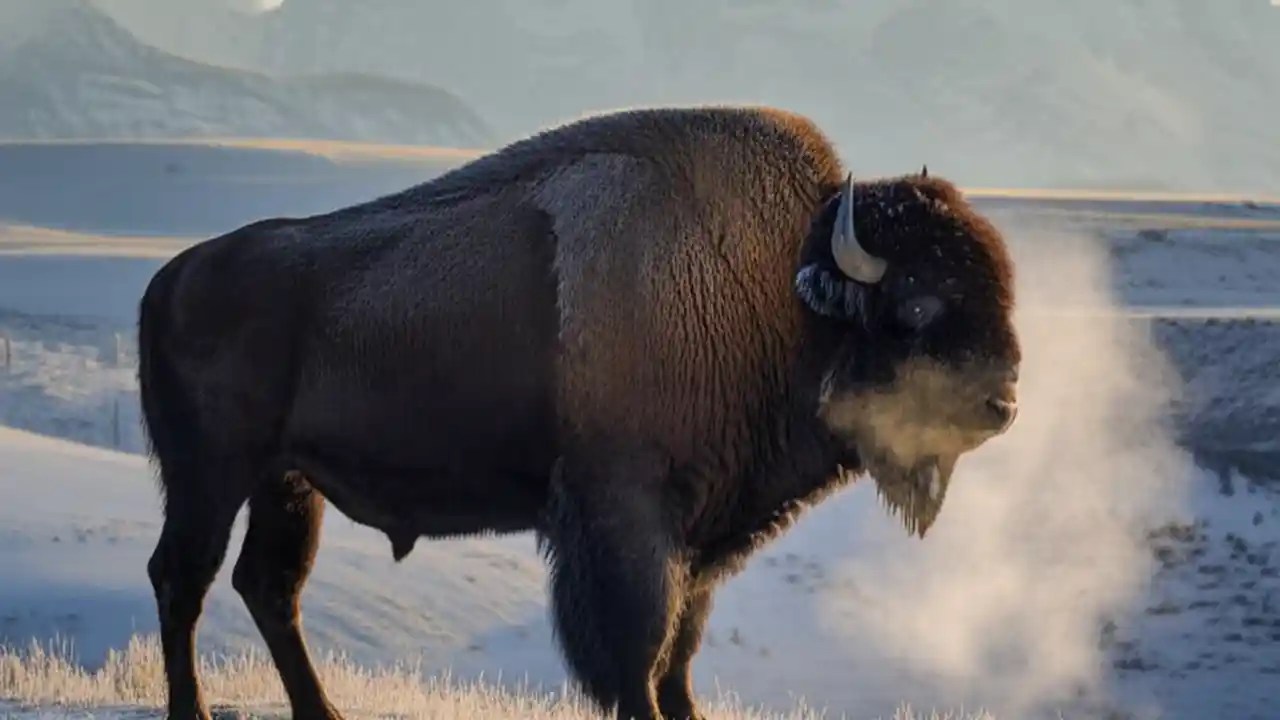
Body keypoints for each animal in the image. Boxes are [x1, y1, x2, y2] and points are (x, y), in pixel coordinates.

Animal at [137, 105, 1020, 720]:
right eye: (916, 304)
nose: (1003, 402)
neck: (782, 292)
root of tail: (170, 279)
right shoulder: (625, 513)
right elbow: (639, 642)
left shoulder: (700, 531)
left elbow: (682, 645)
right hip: (209, 477)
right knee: (183, 577)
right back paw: (193, 710)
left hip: (286, 483)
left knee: (267, 585)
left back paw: (324, 712)